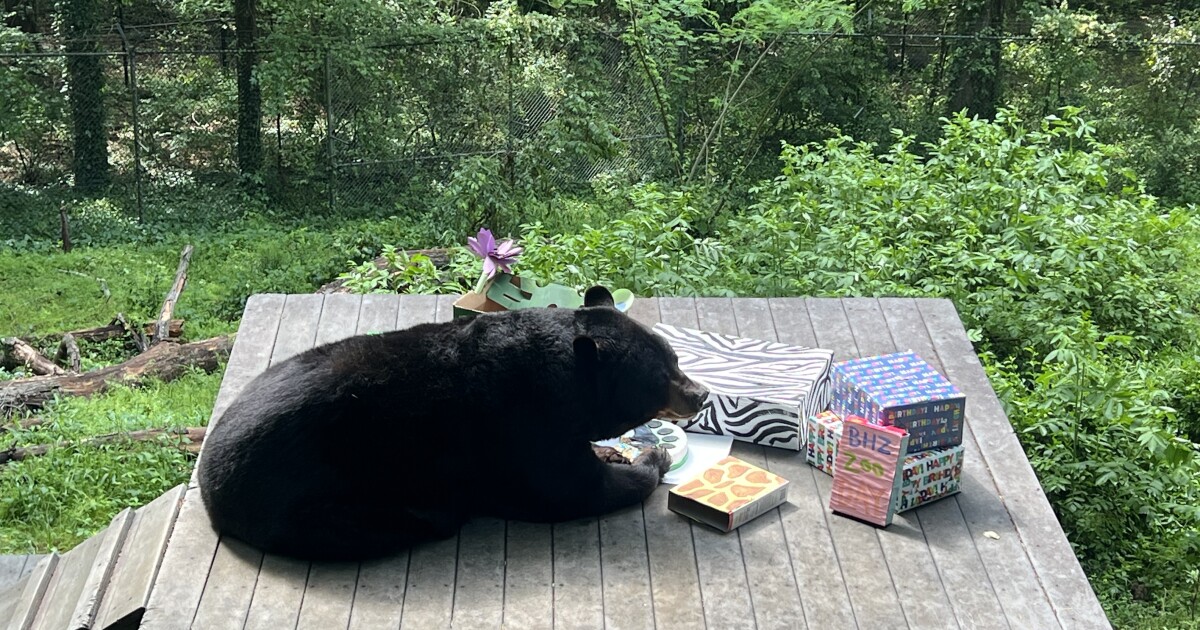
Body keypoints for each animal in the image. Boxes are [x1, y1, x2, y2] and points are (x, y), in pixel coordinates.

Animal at [197, 286, 708, 561]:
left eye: (675, 358)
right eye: (660, 377)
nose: (700, 394)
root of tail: (207, 483)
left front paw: (613, 449)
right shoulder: (522, 429)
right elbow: (569, 488)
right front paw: (651, 458)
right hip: (319, 499)